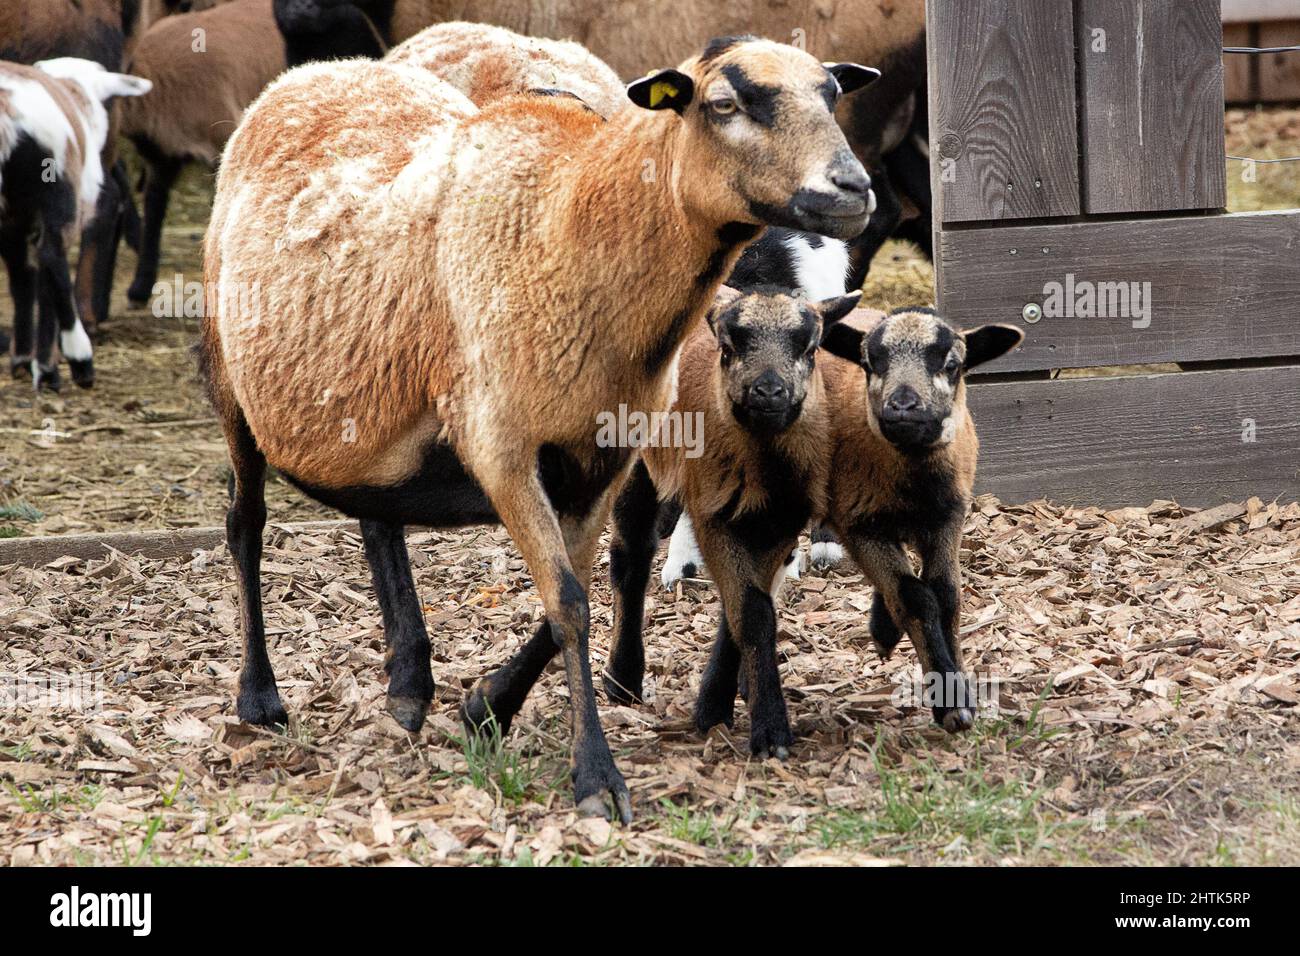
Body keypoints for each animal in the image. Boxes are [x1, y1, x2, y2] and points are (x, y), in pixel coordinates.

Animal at [0, 58, 151, 390]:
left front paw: (22, 359)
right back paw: (76, 361)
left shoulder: (15, 221)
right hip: (60, 190)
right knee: (53, 260)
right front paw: (45, 363)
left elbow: (22, 280)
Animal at [605, 288, 861, 756]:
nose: (769, 391)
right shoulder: (713, 517)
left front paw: (717, 702)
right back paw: (623, 678)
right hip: (636, 457)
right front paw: (768, 730)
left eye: (809, 348)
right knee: (631, 556)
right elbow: (751, 611)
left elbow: (745, 606)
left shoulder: (779, 524)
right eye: (727, 347)